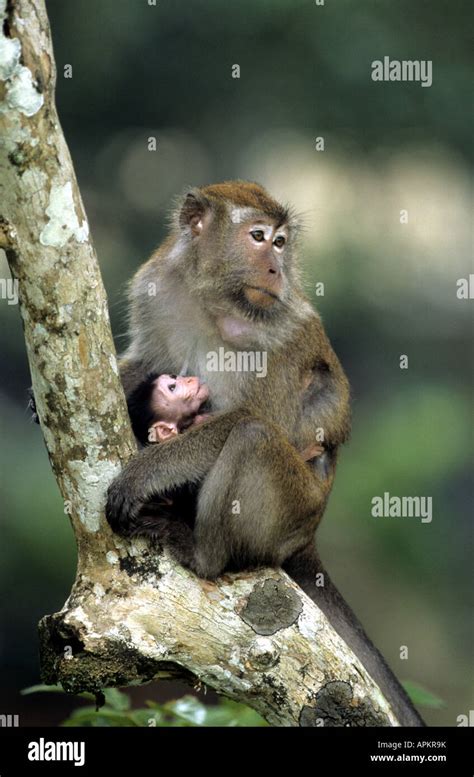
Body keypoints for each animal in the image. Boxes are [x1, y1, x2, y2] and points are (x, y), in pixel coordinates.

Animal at [106, 181, 424, 725]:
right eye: (257, 237)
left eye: (280, 242)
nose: (277, 269)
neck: (213, 296)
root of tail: (308, 535)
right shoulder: (156, 285)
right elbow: (146, 359)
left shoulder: (281, 333)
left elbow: (257, 418)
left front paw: (143, 473)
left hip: (287, 511)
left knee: (253, 437)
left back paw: (203, 555)